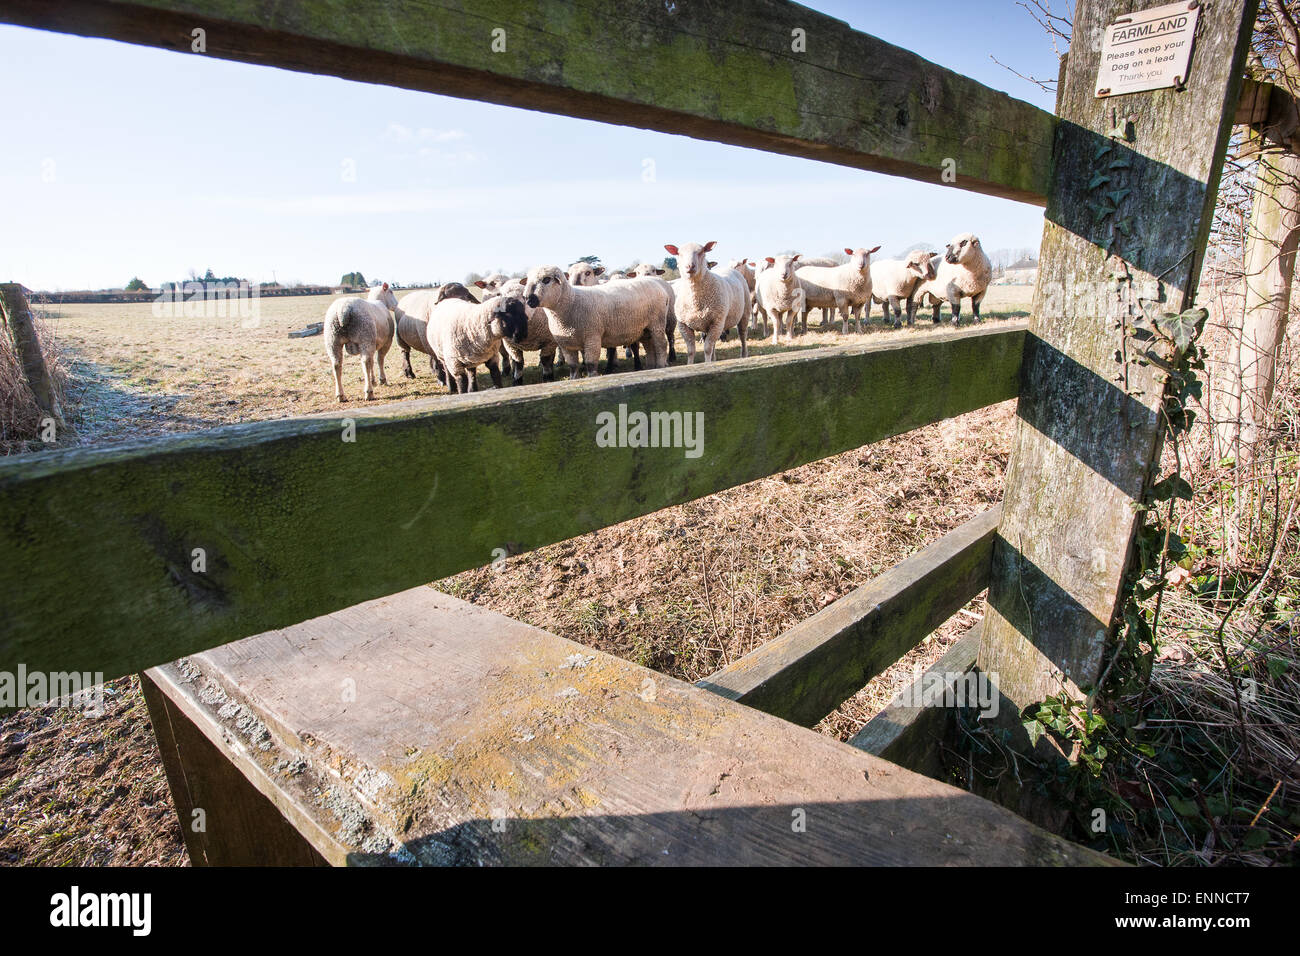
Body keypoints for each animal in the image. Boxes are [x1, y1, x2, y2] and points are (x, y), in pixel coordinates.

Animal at [523, 265, 671, 378]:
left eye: (546, 279)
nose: (527, 298)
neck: (571, 302)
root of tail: (658, 285)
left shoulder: (592, 338)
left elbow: (590, 364)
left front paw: (592, 377)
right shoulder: (566, 344)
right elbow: (573, 366)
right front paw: (573, 379)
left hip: (657, 323)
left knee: (661, 344)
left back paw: (661, 365)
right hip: (645, 329)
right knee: (649, 347)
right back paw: (651, 367)